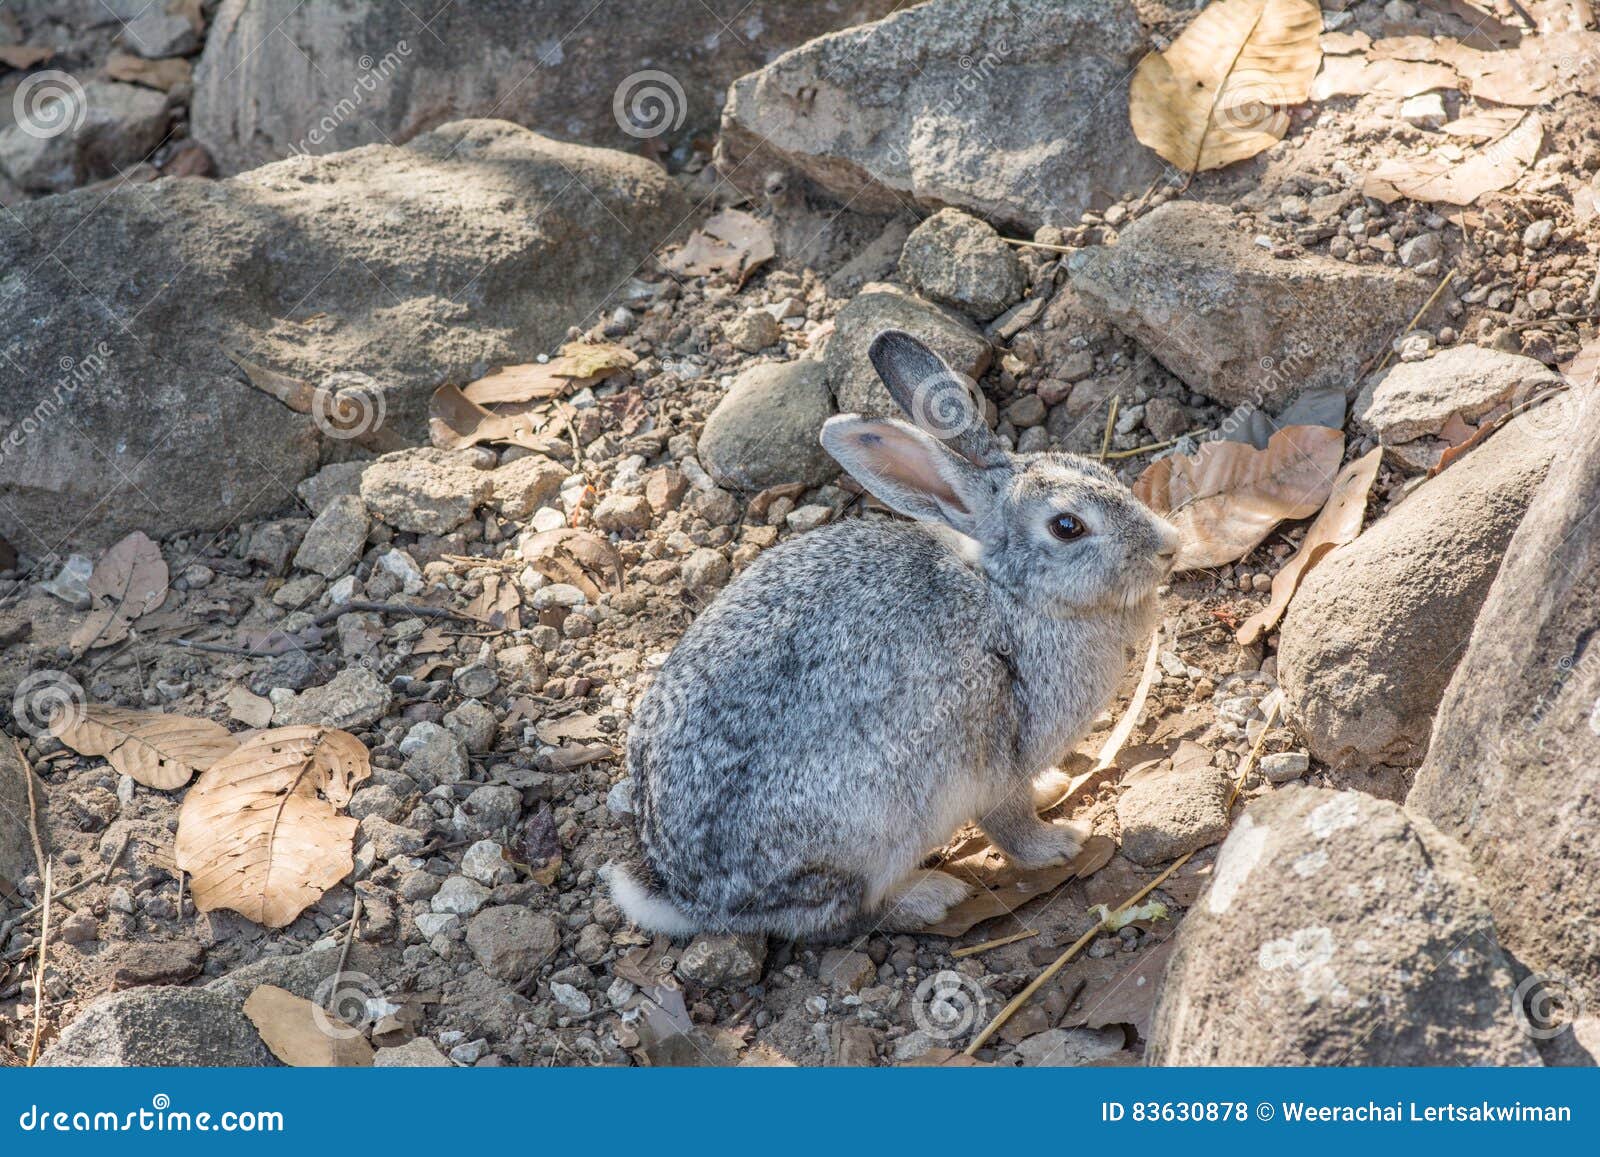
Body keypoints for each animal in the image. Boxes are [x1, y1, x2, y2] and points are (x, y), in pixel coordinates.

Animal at [606, 329, 1179, 941]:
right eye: (1067, 526)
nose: (1168, 546)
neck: (1010, 594)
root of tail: (692, 899)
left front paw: (1051, 788)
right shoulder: (996, 759)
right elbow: (1010, 825)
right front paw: (1061, 843)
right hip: (869, 837)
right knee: (851, 912)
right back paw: (933, 894)